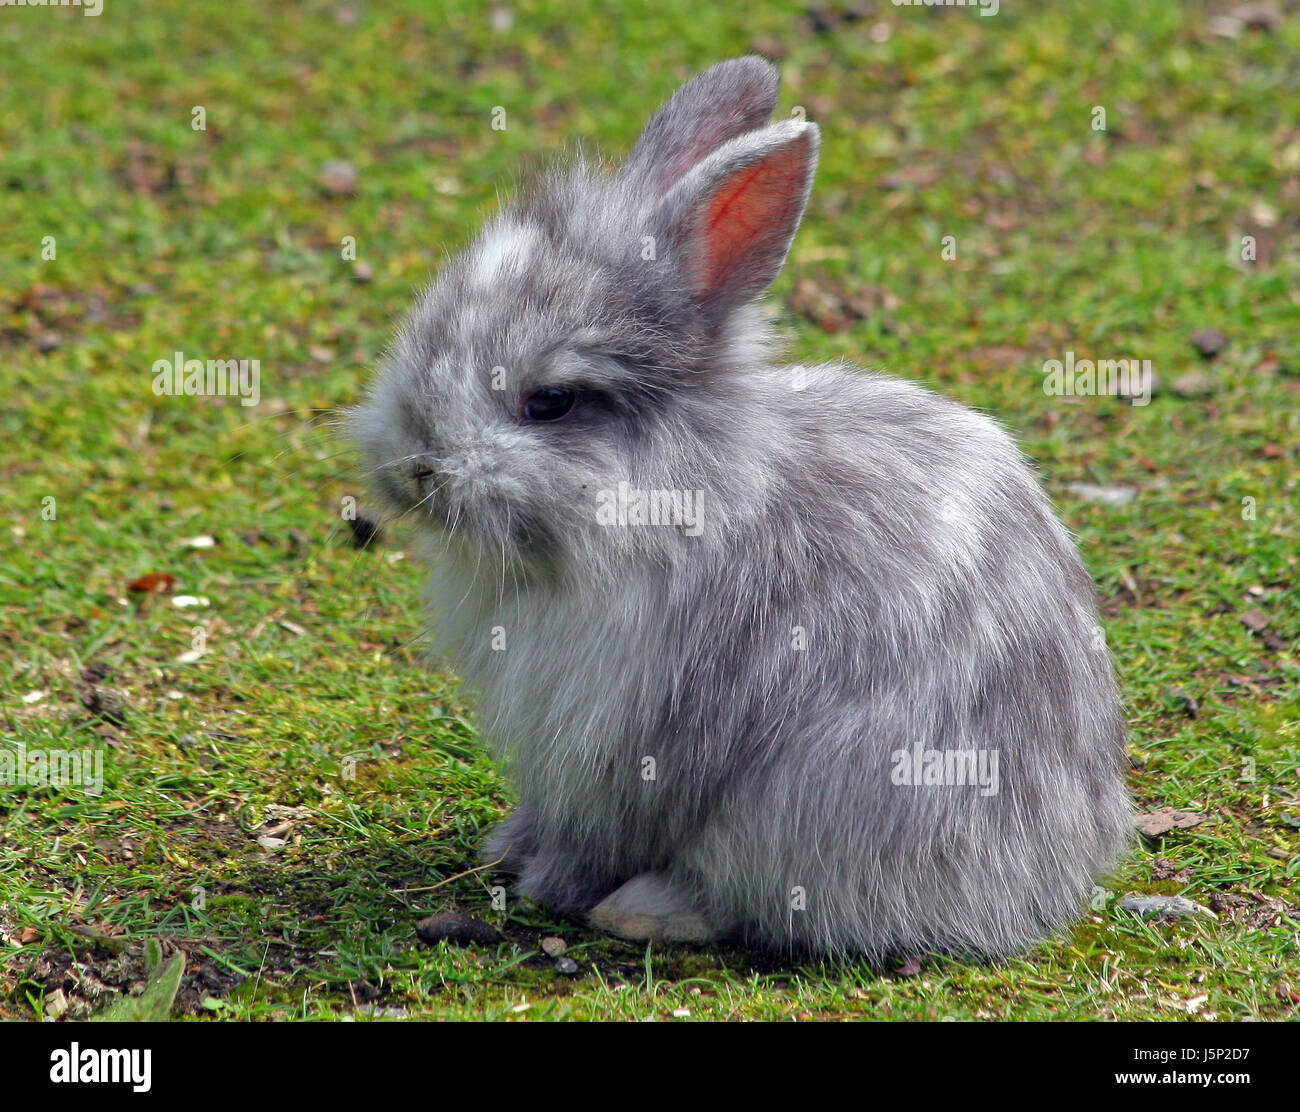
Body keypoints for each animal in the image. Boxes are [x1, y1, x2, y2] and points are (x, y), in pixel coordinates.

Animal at [352, 56, 1132, 962]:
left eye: (549, 403)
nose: (411, 467)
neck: (667, 502)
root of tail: (1054, 874)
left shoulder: (625, 746)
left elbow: (599, 834)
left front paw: (549, 883)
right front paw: (508, 847)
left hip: (801, 810)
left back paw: (643, 909)